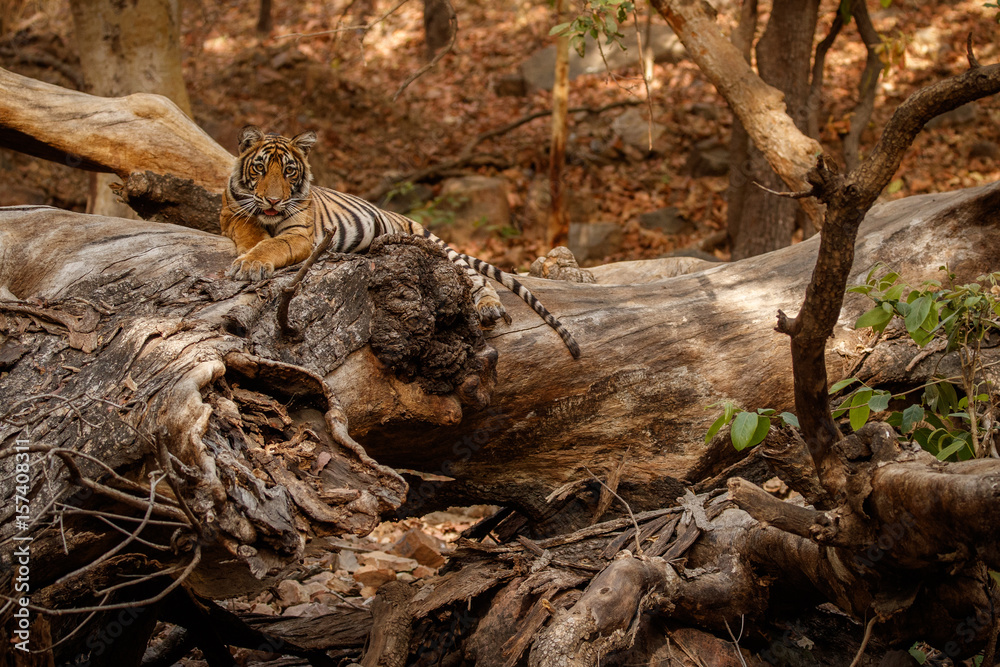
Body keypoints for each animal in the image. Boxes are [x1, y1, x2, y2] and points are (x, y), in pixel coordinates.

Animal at [220, 125, 581, 359]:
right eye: (260, 168)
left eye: (289, 172)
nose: (273, 199)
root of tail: (406, 218)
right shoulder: (232, 215)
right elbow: (252, 233)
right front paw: (248, 258)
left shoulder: (300, 234)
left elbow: (274, 244)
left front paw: (251, 264)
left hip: (435, 246)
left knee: (473, 276)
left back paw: (488, 306)